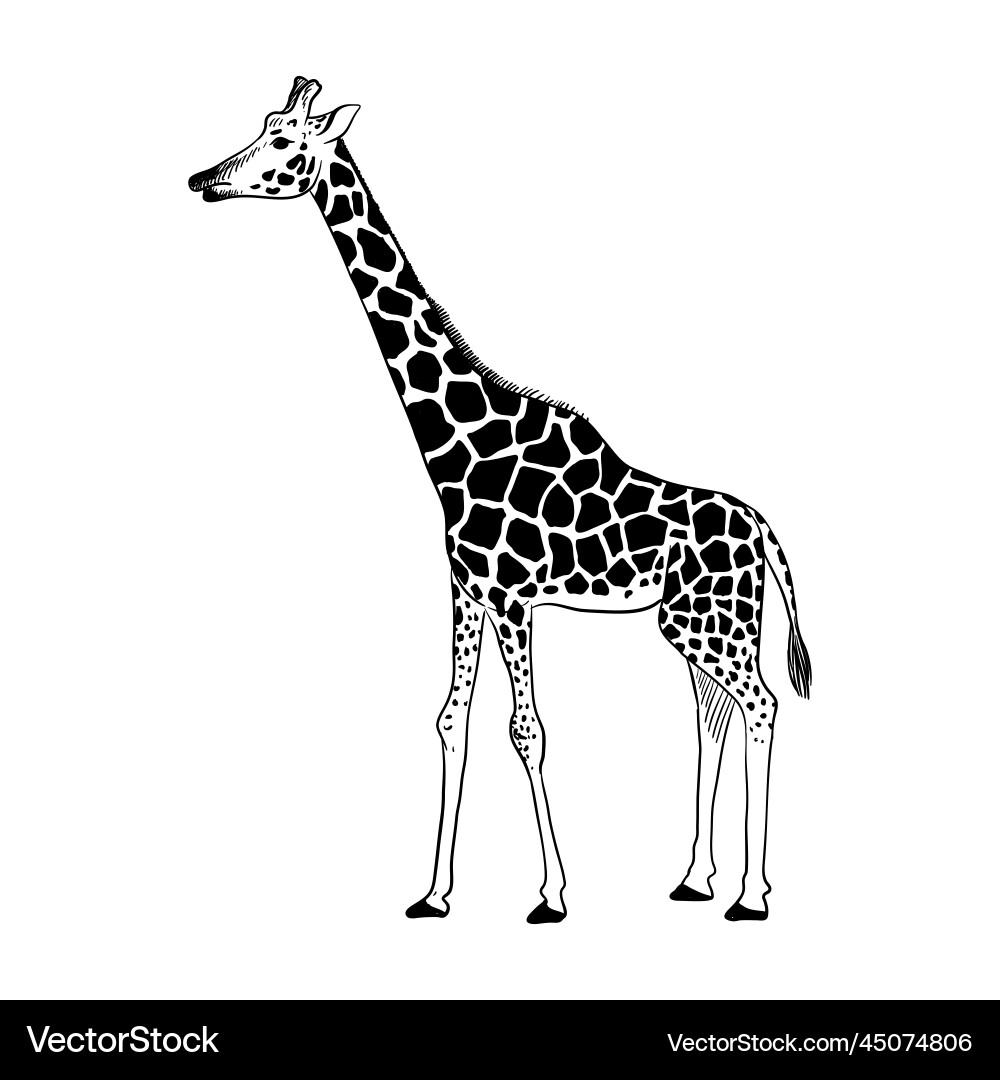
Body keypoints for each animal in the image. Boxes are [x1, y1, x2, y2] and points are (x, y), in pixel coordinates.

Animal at [189, 77, 812, 924]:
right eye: (260, 127)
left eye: (286, 143)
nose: (204, 178)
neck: (458, 441)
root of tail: (765, 531)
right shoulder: (466, 589)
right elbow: (450, 721)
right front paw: (433, 894)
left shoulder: (515, 597)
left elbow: (527, 730)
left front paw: (551, 895)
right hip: (700, 624)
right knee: (713, 717)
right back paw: (694, 879)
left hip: (713, 624)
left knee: (762, 708)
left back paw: (750, 894)